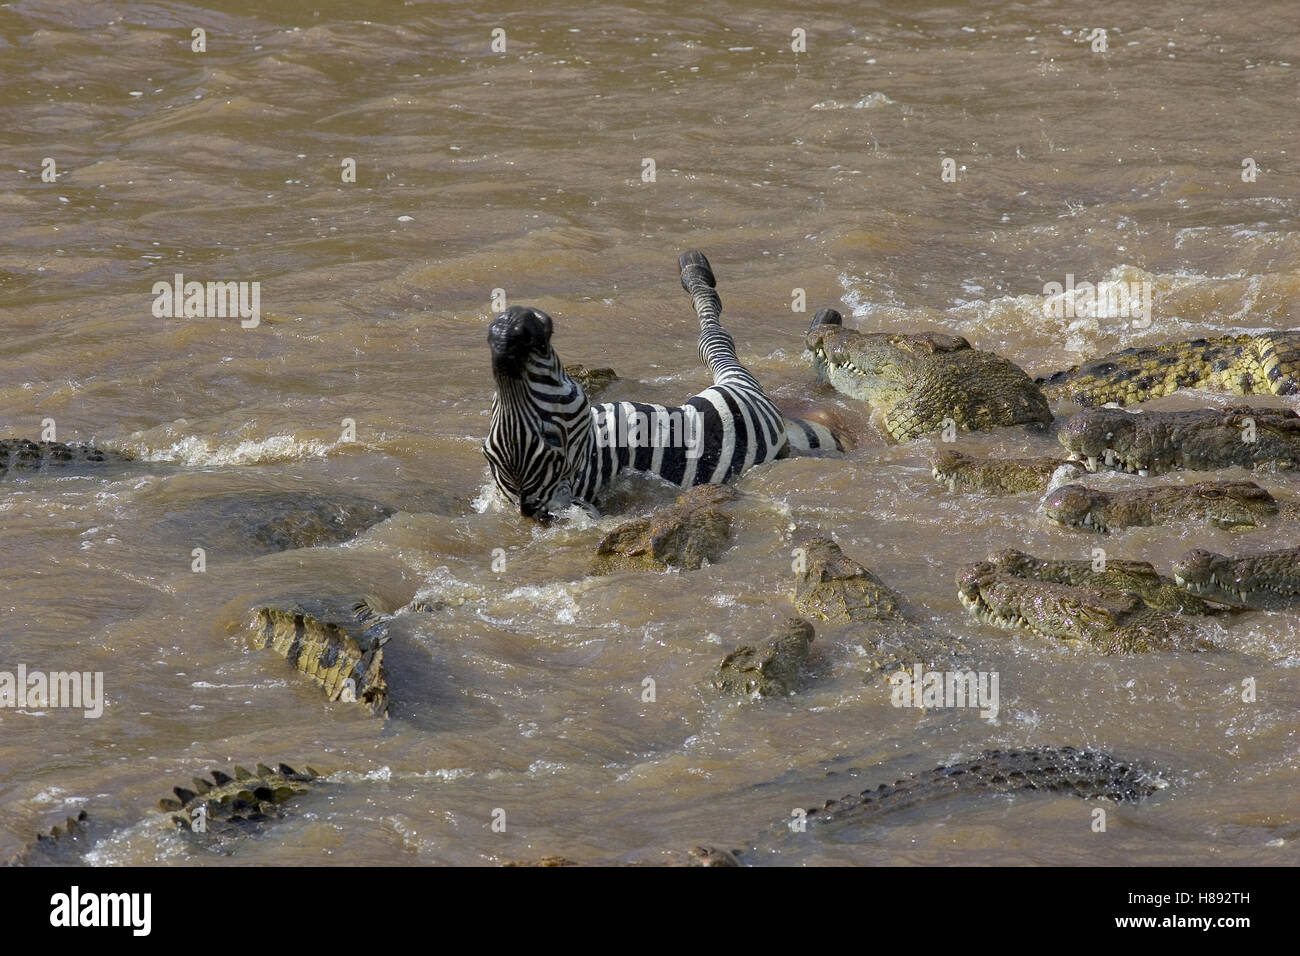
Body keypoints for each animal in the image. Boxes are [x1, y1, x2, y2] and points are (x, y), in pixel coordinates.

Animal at [483, 250, 842, 521]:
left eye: (487, 450)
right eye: (550, 437)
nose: (505, 329)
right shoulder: (740, 395)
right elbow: (713, 338)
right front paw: (696, 272)